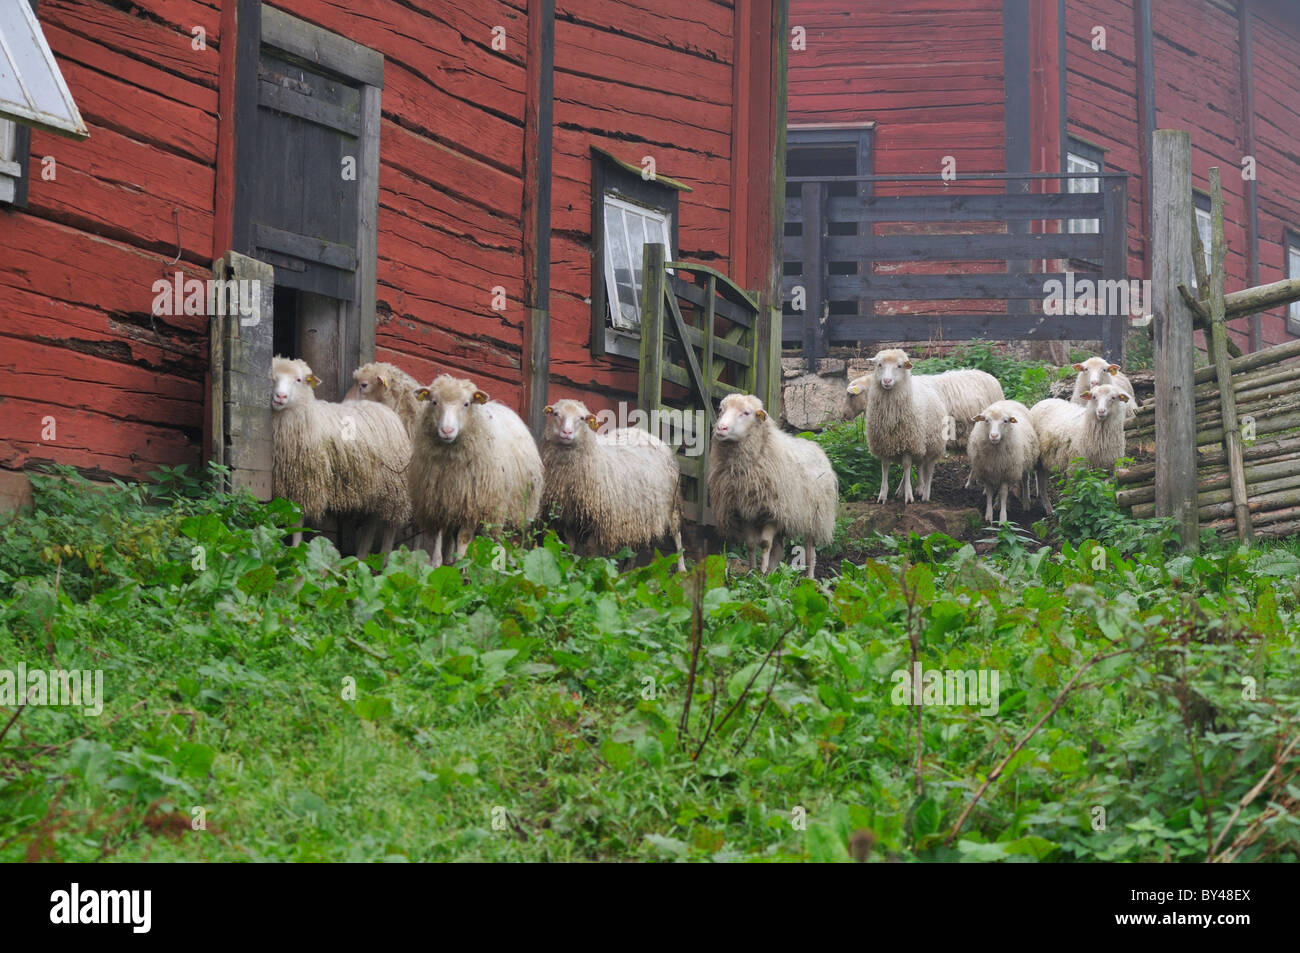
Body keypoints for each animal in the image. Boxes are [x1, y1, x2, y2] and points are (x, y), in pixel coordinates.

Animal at [270, 356, 411, 557]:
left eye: (298, 380)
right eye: (272, 377)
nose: (280, 397)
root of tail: (386, 410)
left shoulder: (306, 482)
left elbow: (298, 520)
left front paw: (295, 552)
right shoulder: (284, 481)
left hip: (395, 484)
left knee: (391, 525)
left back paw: (385, 559)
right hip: (377, 486)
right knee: (372, 521)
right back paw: (362, 557)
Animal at [408, 374, 544, 566]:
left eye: (466, 404)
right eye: (434, 402)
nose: (447, 430)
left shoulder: (473, 506)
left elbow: (464, 540)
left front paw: (462, 567)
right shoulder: (438, 503)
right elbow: (438, 539)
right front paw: (437, 565)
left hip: (510, 513)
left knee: (503, 540)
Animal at [539, 399, 685, 571]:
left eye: (582, 418)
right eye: (556, 414)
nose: (567, 433)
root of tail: (651, 436)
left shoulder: (599, 519)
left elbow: (591, 552)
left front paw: (592, 570)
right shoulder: (568, 517)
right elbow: (570, 548)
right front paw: (569, 570)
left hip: (672, 504)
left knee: (677, 536)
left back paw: (682, 569)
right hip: (636, 512)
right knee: (633, 547)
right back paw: (627, 571)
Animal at [707, 393, 837, 578]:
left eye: (746, 413)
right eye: (721, 410)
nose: (721, 428)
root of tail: (816, 447)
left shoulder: (774, 512)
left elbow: (764, 543)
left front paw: (761, 571)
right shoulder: (744, 511)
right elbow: (750, 544)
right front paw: (753, 571)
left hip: (814, 516)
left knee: (809, 550)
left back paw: (809, 577)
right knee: (779, 549)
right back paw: (773, 571)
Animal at [860, 349, 946, 505]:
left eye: (899, 366)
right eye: (879, 365)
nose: (887, 381)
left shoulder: (908, 443)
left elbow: (906, 466)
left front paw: (909, 495)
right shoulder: (885, 443)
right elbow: (886, 466)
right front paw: (883, 495)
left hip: (933, 443)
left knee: (929, 468)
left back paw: (925, 494)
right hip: (919, 444)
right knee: (919, 465)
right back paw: (906, 489)